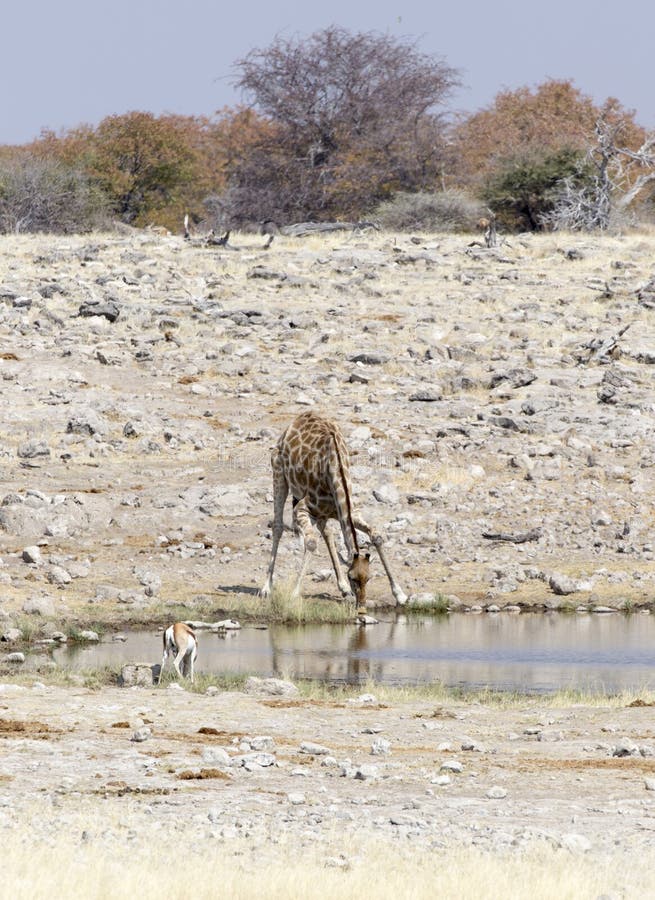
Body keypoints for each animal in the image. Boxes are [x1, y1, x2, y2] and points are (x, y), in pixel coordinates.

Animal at [260, 412, 407, 613]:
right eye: (353, 577)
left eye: (368, 577)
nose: (362, 608)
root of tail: (291, 425)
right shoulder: (303, 508)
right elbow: (311, 543)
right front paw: (294, 595)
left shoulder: (349, 513)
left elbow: (376, 536)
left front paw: (400, 594)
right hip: (278, 473)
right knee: (278, 526)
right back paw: (266, 588)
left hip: (321, 513)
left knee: (326, 532)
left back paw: (342, 588)